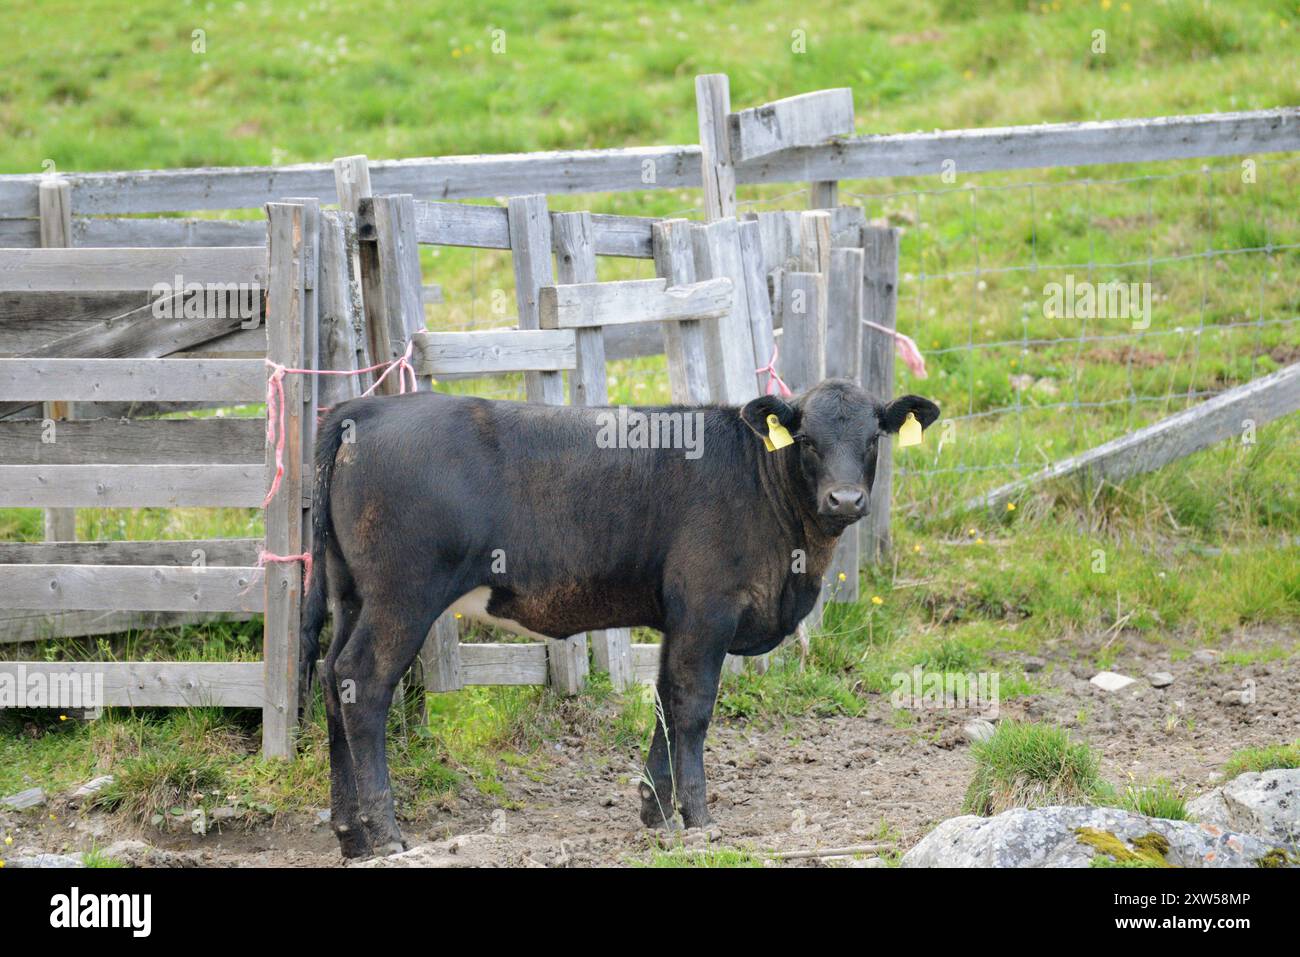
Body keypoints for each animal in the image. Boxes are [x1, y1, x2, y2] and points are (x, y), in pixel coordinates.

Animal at [300, 377, 940, 857]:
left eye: (873, 438)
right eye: (805, 439)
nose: (845, 500)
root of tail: (365, 407)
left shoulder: (678, 620)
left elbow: (663, 702)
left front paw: (655, 809)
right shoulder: (706, 611)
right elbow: (693, 708)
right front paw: (698, 816)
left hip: (350, 592)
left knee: (331, 679)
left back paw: (350, 834)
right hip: (402, 595)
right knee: (362, 682)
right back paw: (386, 835)